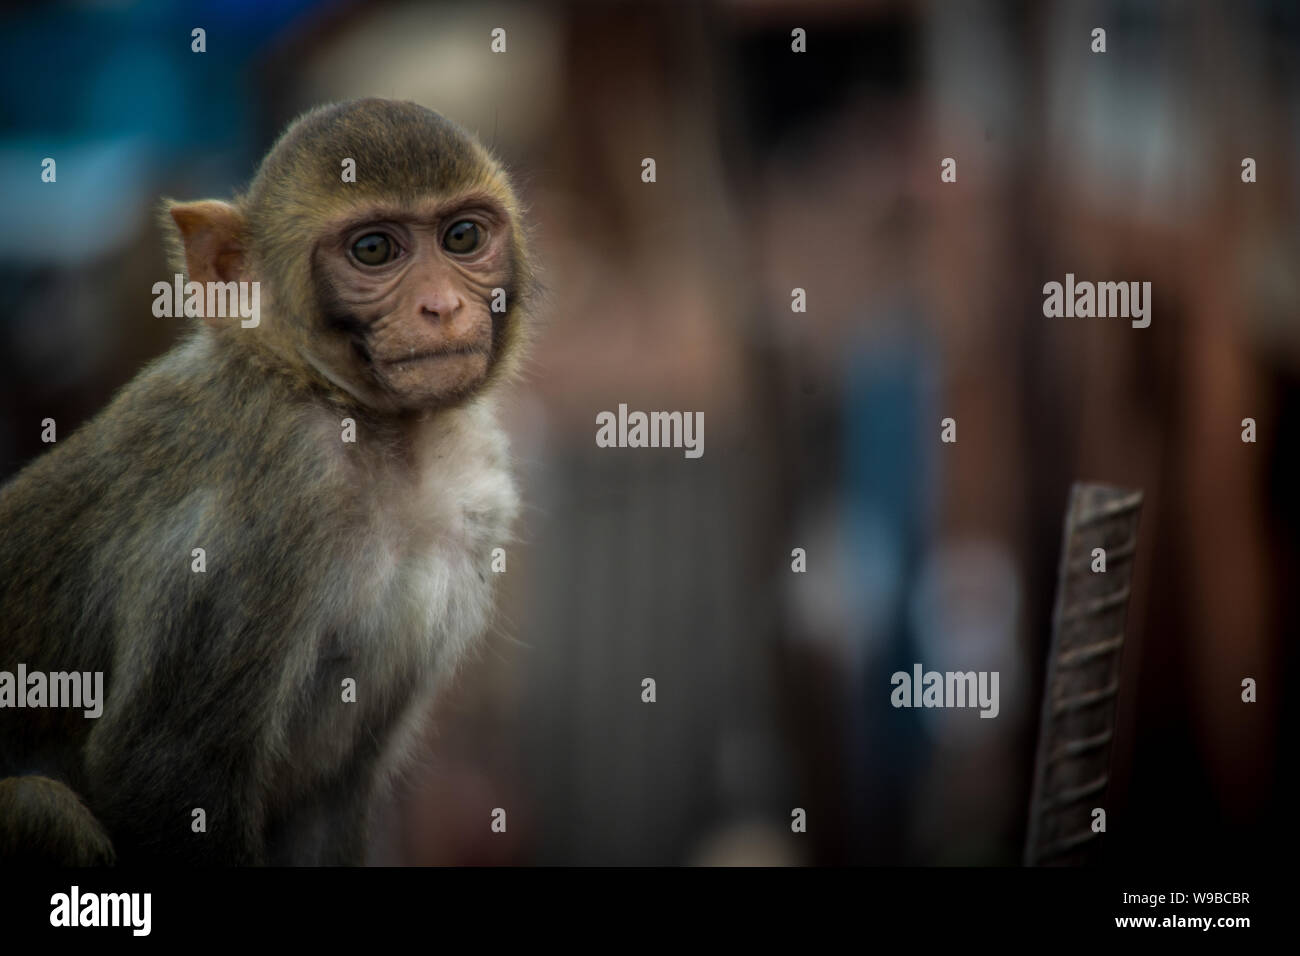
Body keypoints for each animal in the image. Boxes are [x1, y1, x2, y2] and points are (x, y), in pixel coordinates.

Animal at [0, 98, 534, 865]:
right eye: (375, 251)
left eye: (462, 236)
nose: (442, 307)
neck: (371, 428)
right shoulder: (268, 506)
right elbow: (164, 772)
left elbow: (327, 805)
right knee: (38, 805)